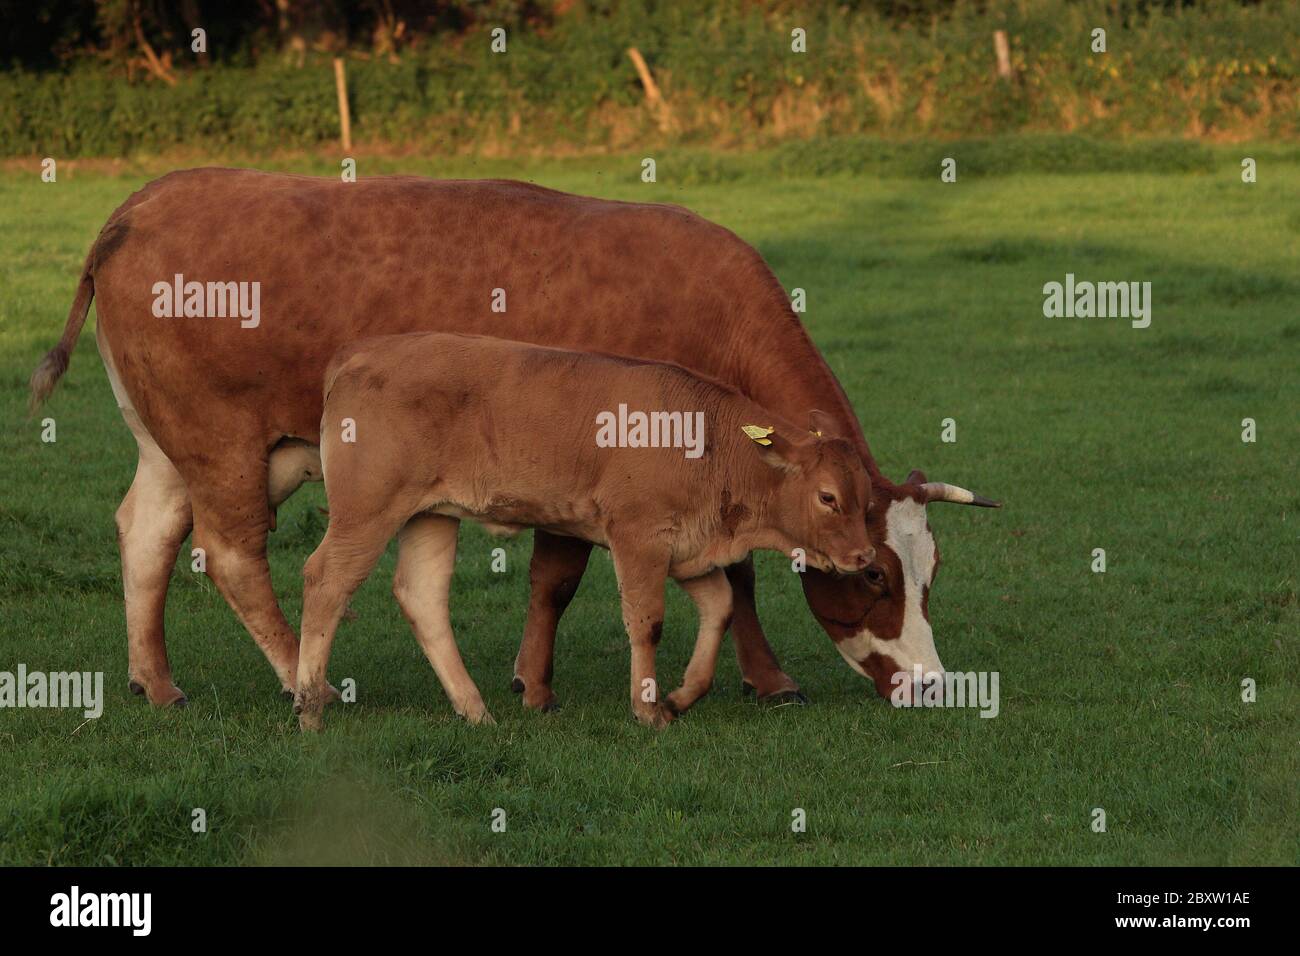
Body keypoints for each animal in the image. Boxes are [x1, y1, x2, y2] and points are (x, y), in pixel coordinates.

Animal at [295, 331, 875, 730]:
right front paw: (647, 708)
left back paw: (475, 709)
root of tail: (362, 353)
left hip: (430, 514)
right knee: (326, 581)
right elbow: (647, 622)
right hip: (367, 512)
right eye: (827, 497)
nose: (864, 558)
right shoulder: (638, 538)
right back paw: (309, 706)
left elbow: (721, 607)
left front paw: (681, 696)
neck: (706, 438)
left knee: (421, 595)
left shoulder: (686, 549)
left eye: (865, 498)